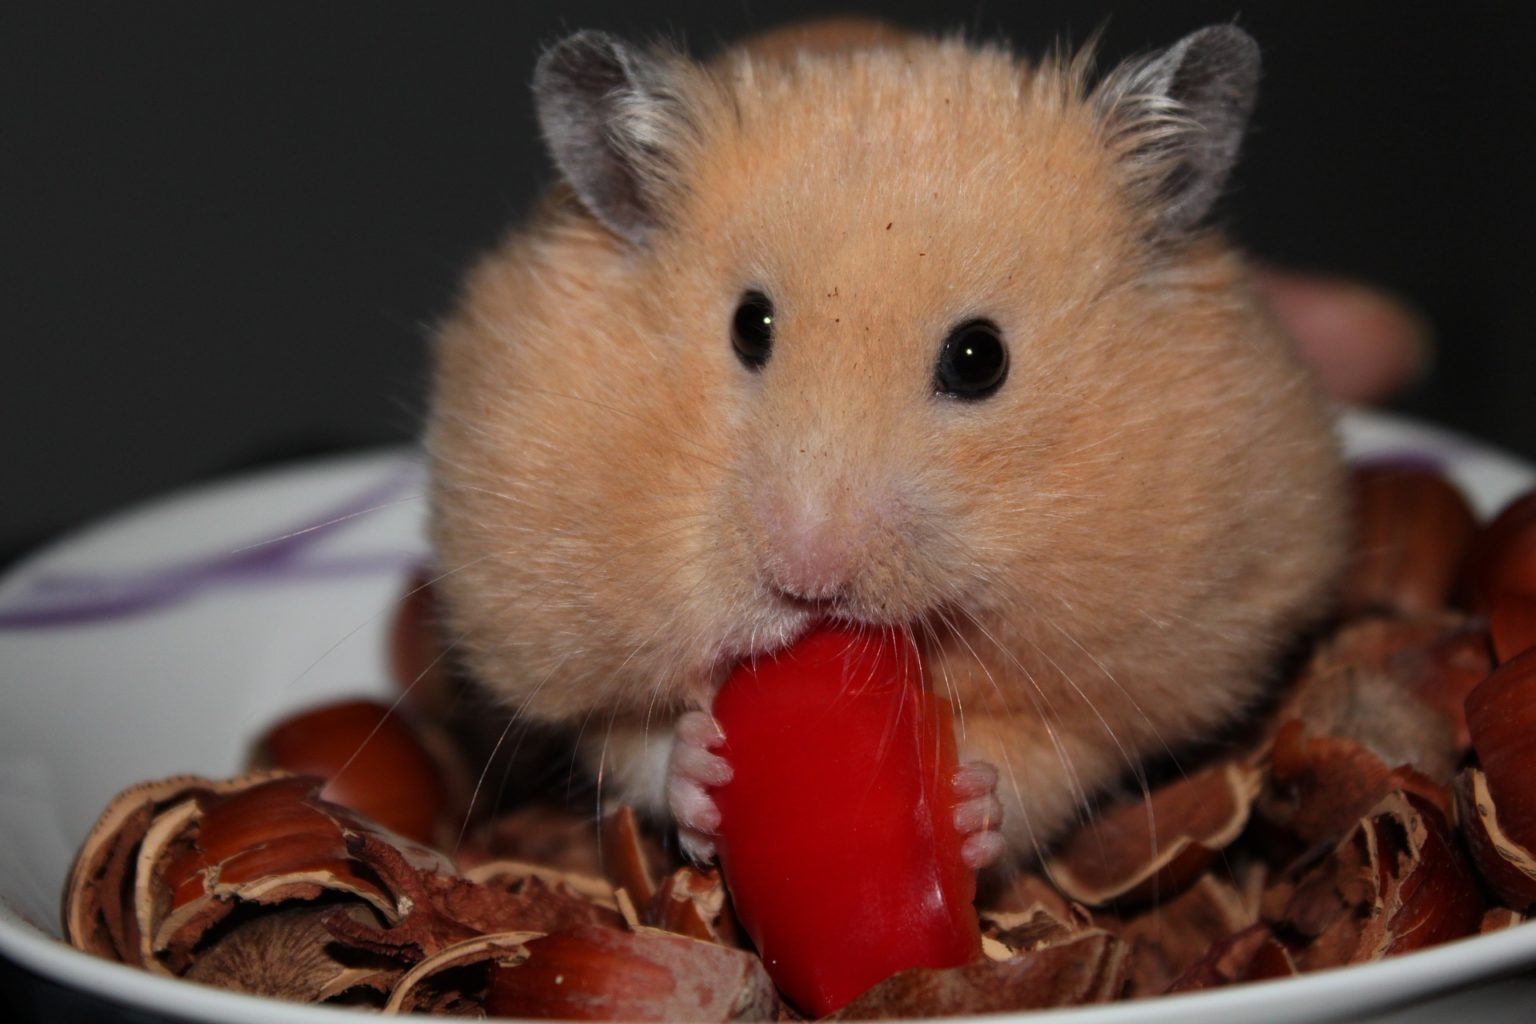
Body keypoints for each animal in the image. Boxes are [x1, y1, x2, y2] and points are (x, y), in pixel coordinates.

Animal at [423, 19, 1347, 866]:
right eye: (749, 326)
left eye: (980, 358)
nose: (807, 582)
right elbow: (629, 737)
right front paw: (702, 770)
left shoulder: (1132, 671)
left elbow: (1046, 758)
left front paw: (971, 806)